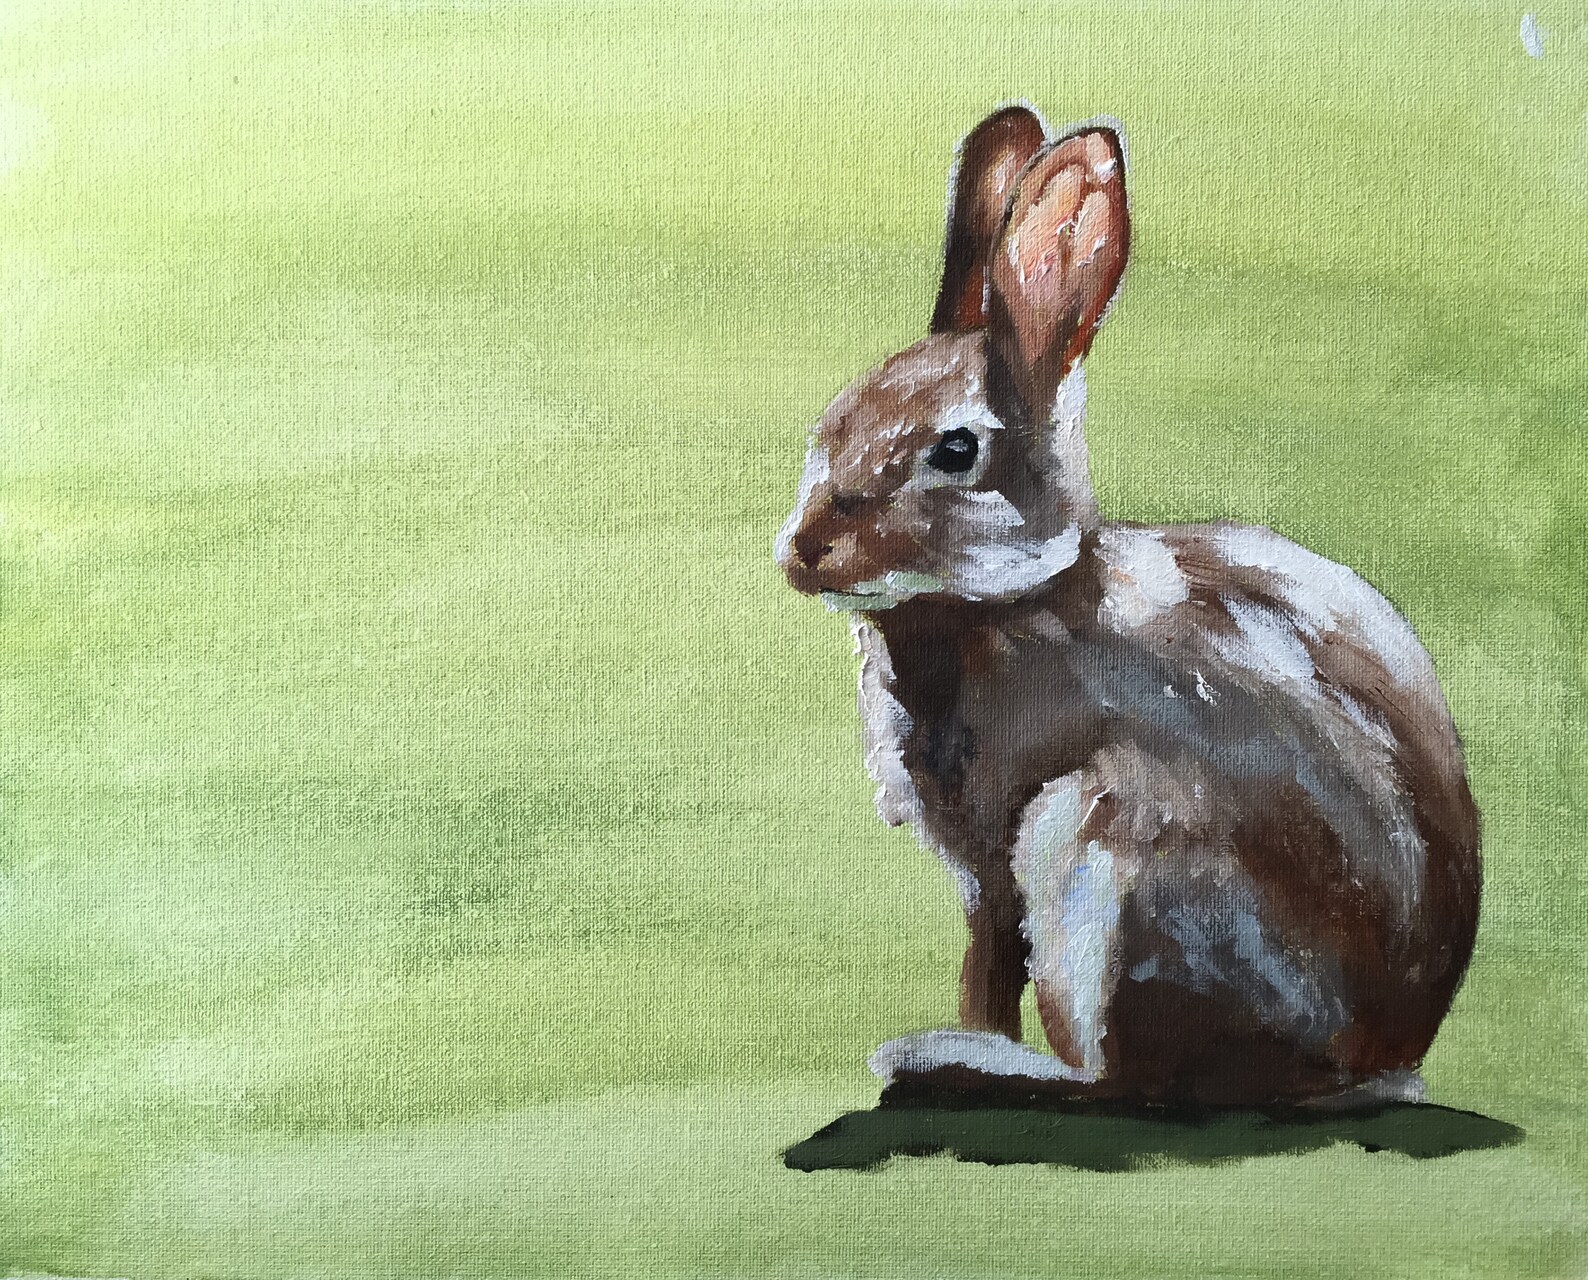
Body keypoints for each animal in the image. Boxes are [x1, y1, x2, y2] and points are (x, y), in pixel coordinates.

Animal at [774, 105, 1481, 1107]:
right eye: (835, 420)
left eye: (954, 450)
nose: (803, 553)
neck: (1008, 603)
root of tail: (1375, 1057)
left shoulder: (1002, 860)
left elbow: (991, 968)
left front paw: (968, 1035)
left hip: (1104, 855)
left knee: (1124, 1082)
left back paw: (951, 1059)